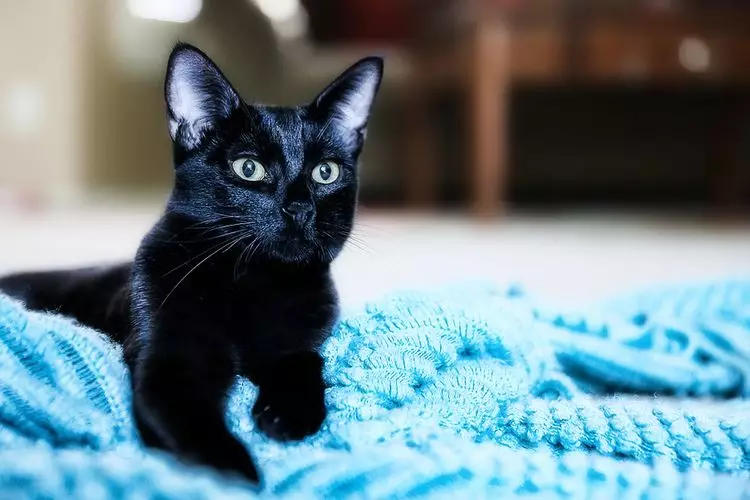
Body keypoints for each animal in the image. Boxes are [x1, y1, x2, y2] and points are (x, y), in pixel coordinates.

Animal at [0, 44, 384, 484]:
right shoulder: (170, 356)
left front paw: (289, 413)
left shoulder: (299, 341)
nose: (300, 208)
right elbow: (187, 415)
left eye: (326, 172)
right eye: (248, 168)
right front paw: (237, 474)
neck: (254, 285)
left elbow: (305, 361)